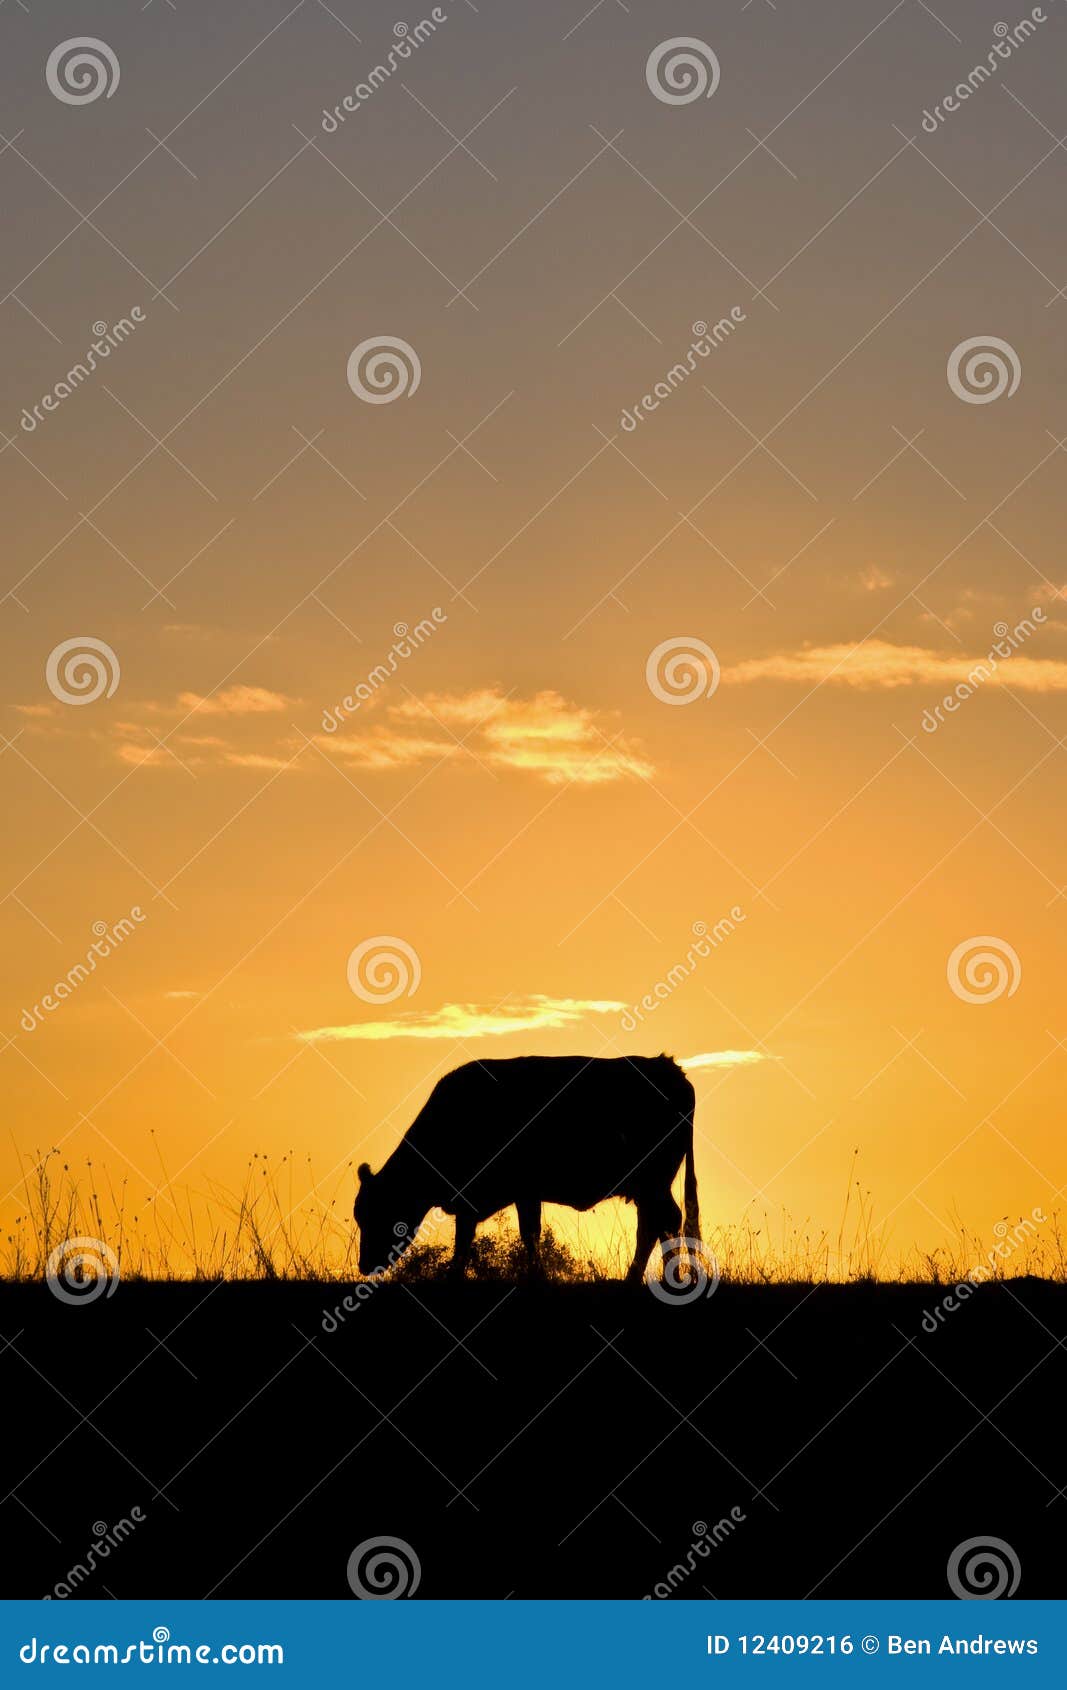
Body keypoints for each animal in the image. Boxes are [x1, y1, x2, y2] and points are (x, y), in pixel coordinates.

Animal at [353, 1053, 699, 1283]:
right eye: (360, 1216)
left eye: (379, 1213)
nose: (364, 1265)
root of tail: (668, 1066)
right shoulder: (519, 1195)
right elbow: (525, 1233)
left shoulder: (494, 1195)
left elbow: (477, 1237)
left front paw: (454, 1277)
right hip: (649, 1185)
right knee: (657, 1223)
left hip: (653, 1180)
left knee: (662, 1221)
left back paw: (655, 1279)